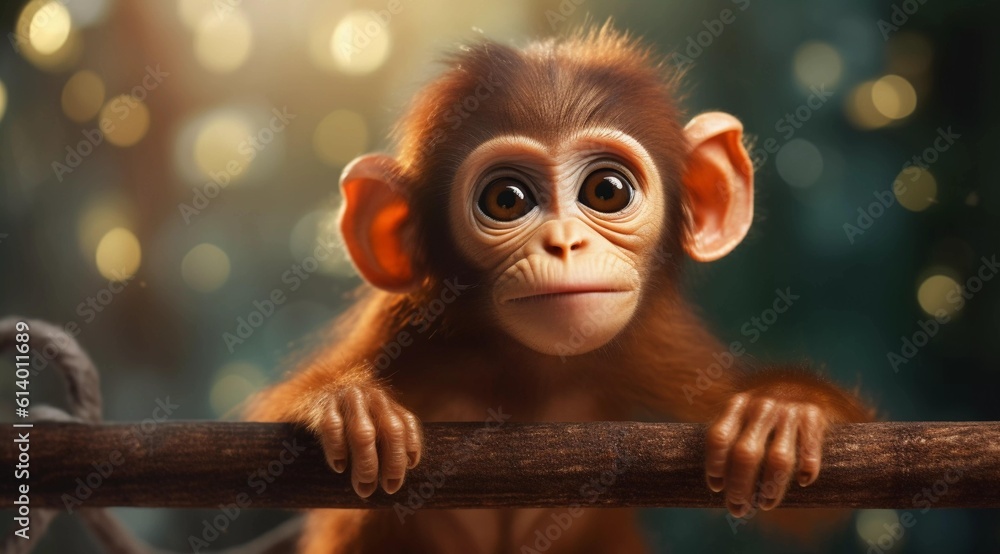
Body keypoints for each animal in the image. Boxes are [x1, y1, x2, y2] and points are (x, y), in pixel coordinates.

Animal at [248, 24, 873, 554]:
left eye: (607, 190)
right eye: (506, 200)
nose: (565, 243)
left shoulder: (659, 346)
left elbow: (811, 507)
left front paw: (784, 411)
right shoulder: (406, 323)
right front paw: (344, 402)